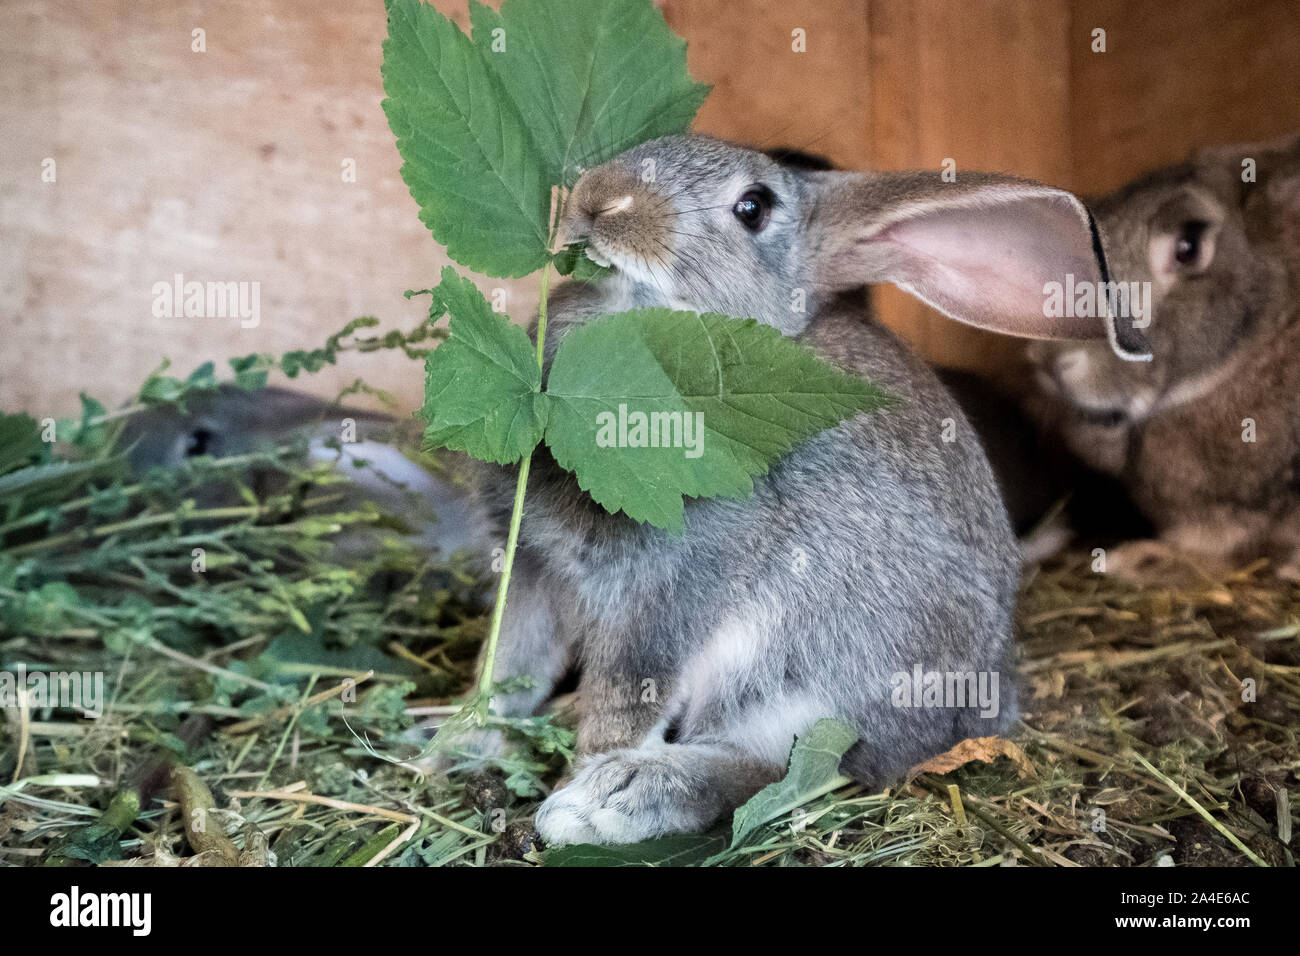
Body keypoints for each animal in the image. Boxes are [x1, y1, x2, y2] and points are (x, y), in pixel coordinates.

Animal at [459, 134, 1143, 846]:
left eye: (753, 207)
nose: (599, 202)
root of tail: (984, 710)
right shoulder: (531, 570)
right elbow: (506, 668)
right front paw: (457, 749)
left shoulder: (668, 591)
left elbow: (625, 696)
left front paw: (577, 791)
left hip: (798, 676)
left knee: (787, 769)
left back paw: (621, 795)